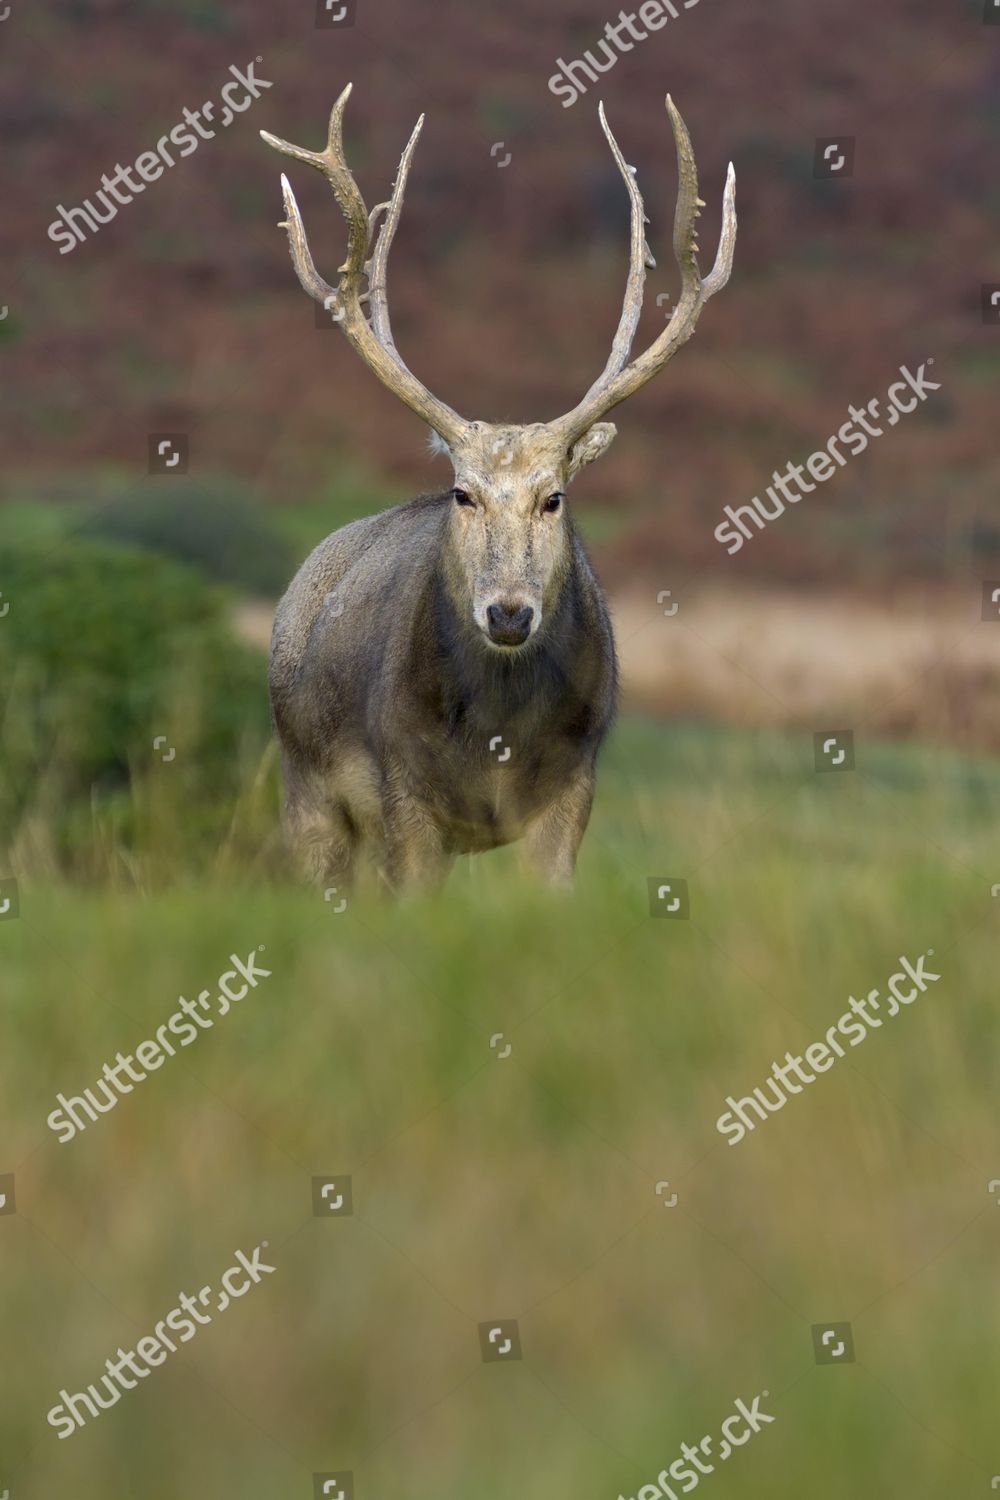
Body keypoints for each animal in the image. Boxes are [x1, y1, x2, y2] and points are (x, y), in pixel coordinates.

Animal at [260, 85, 736, 892]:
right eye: (463, 494)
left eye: (555, 497)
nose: (509, 612)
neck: (498, 740)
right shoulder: (402, 796)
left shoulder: (575, 792)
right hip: (307, 789)